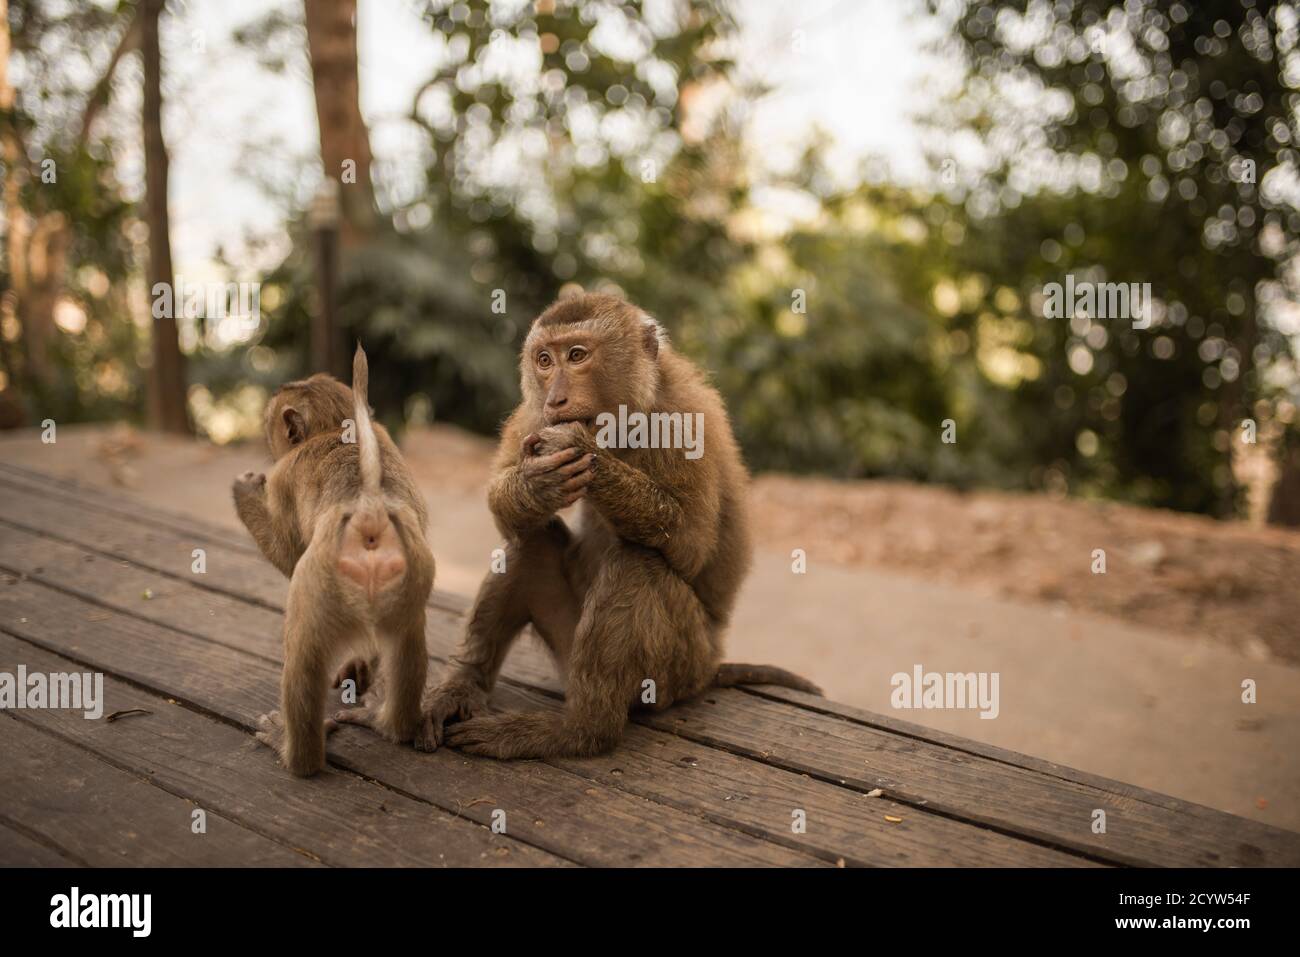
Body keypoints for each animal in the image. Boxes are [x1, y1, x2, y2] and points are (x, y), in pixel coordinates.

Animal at [231, 345, 435, 775]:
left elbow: (287, 553)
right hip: (410, 578)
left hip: (319, 587)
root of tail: (369, 509)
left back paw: (296, 754)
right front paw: (361, 664)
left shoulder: (284, 476)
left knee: (303, 657)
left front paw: (245, 491)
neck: (339, 428)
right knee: (407, 637)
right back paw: (394, 722)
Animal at [424, 292, 821, 759]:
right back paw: (460, 689)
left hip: (679, 666)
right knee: (531, 541)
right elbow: (507, 520)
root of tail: (709, 665)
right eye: (544, 360)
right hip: (569, 644)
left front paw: (587, 454)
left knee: (638, 565)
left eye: (577, 356)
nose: (555, 399)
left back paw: (579, 731)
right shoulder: (533, 417)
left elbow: (692, 546)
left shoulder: (684, 417)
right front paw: (535, 484)